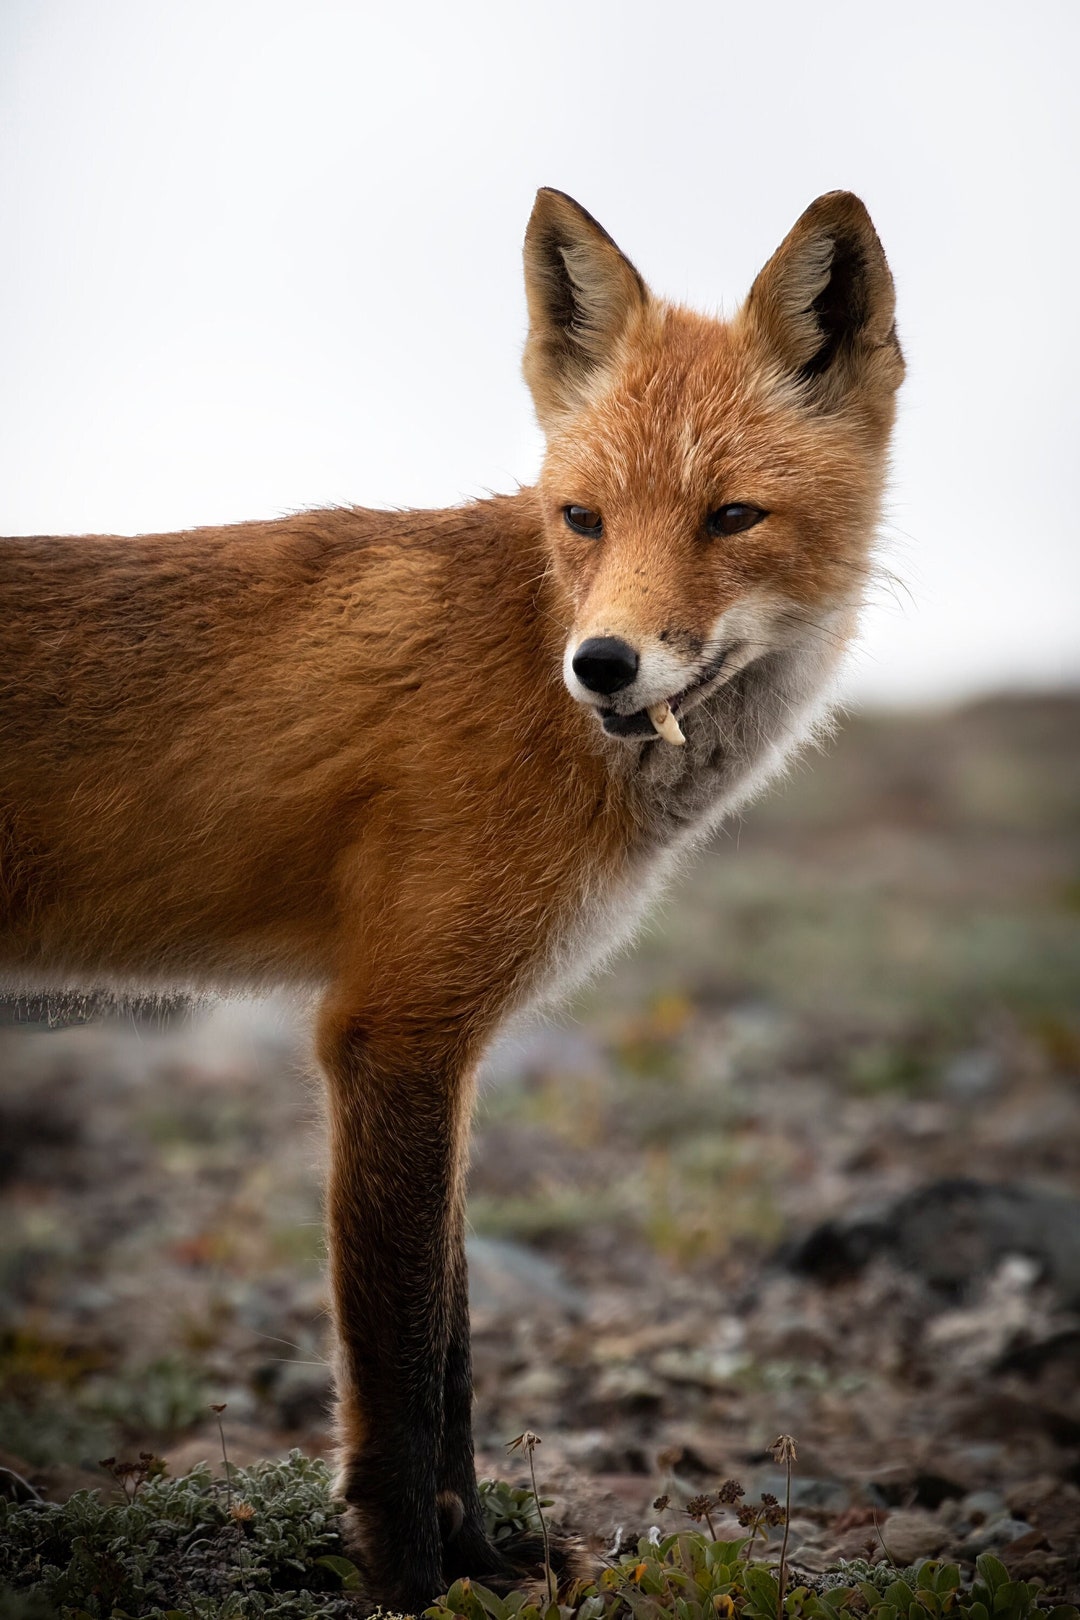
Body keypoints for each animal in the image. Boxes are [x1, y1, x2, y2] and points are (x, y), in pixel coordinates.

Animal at [0, 188, 903, 1607]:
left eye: (732, 518)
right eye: (582, 519)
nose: (603, 664)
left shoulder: (442, 1044)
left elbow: (460, 1343)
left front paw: (480, 1556)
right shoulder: (390, 1030)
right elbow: (406, 1360)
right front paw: (414, 1579)